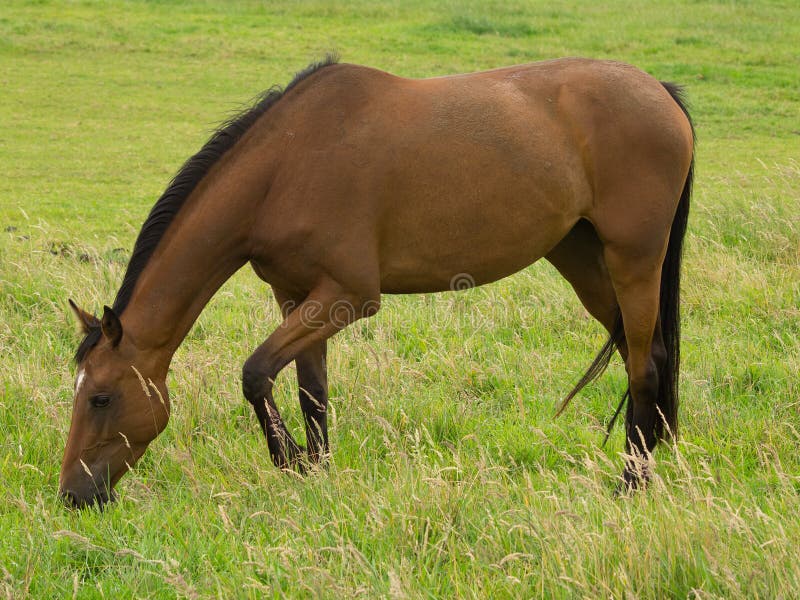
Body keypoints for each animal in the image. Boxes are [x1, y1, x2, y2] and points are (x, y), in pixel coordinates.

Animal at [60, 55, 694, 508]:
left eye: (101, 397)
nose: (72, 495)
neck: (287, 164)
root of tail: (660, 91)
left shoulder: (347, 297)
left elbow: (255, 373)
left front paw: (288, 460)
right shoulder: (296, 296)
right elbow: (309, 390)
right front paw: (315, 474)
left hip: (633, 259)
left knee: (644, 366)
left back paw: (632, 484)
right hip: (583, 258)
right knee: (645, 354)